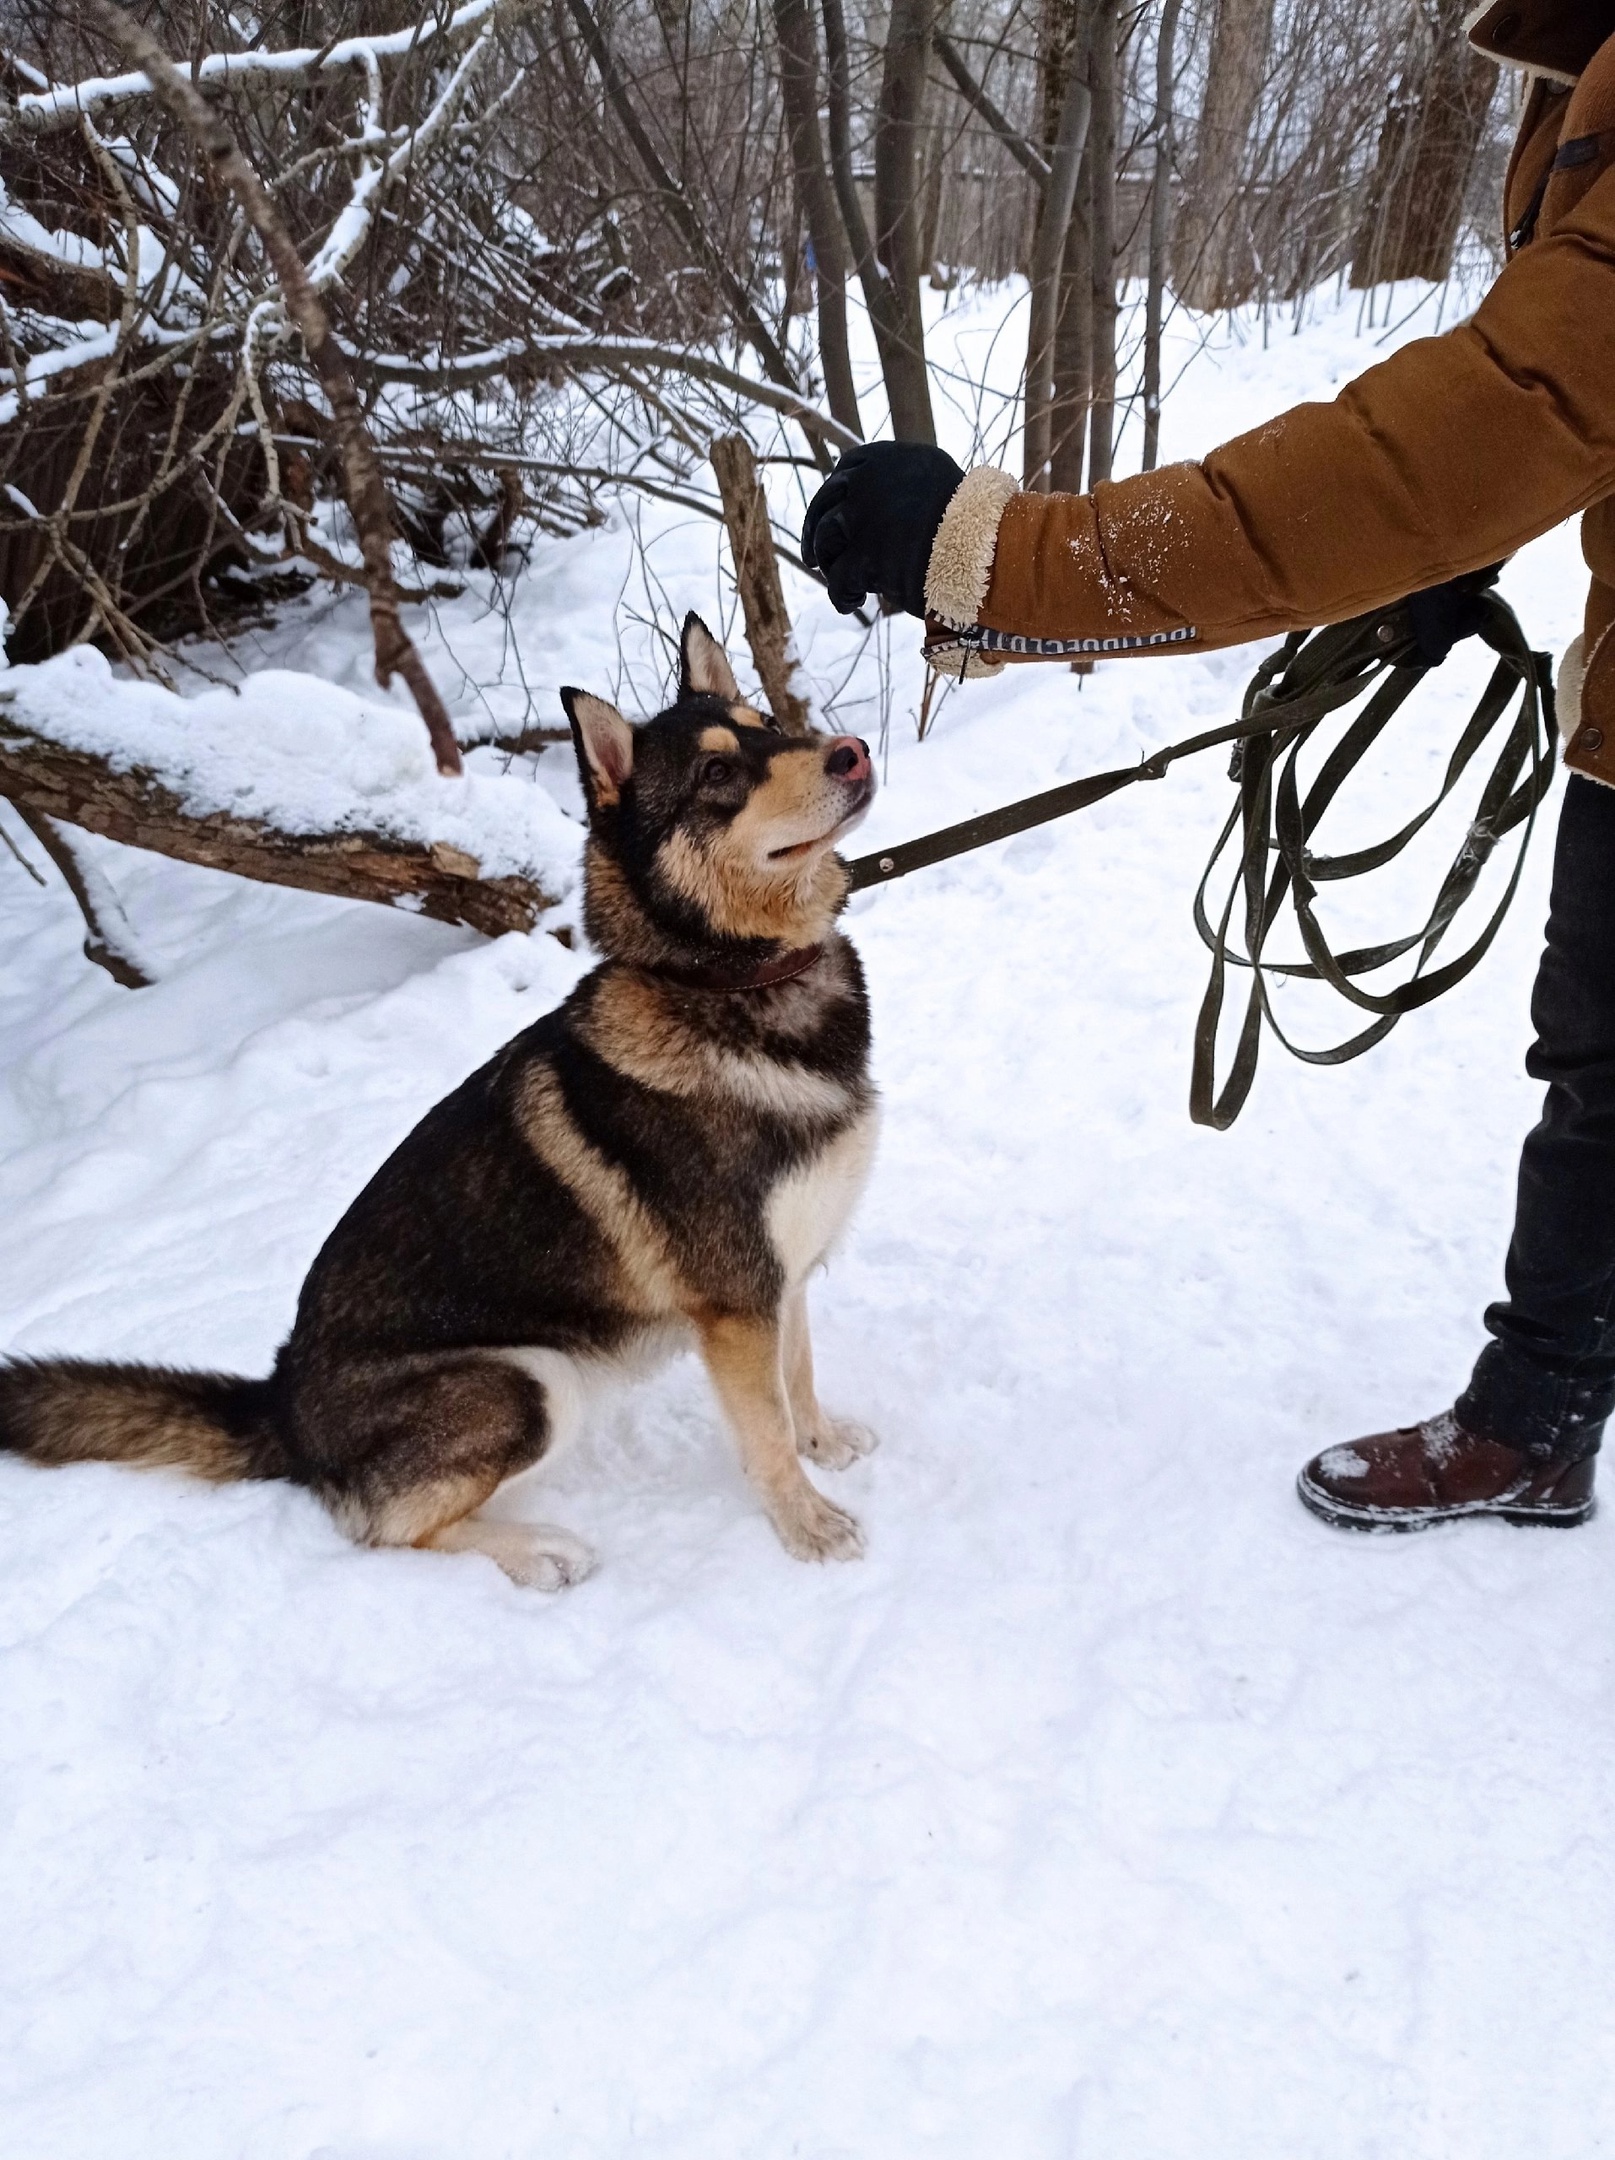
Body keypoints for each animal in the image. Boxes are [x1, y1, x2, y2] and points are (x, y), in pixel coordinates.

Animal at [0, 617, 876, 1581]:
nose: (851, 752)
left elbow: (798, 1380)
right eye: (718, 774)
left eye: (769, 727)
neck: (730, 983)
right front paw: (807, 1526)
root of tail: (283, 1406)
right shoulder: (734, 1307)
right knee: (386, 1526)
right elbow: (765, 1434)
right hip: (529, 1380)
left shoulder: (785, 1274)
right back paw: (537, 1552)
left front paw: (827, 1444)